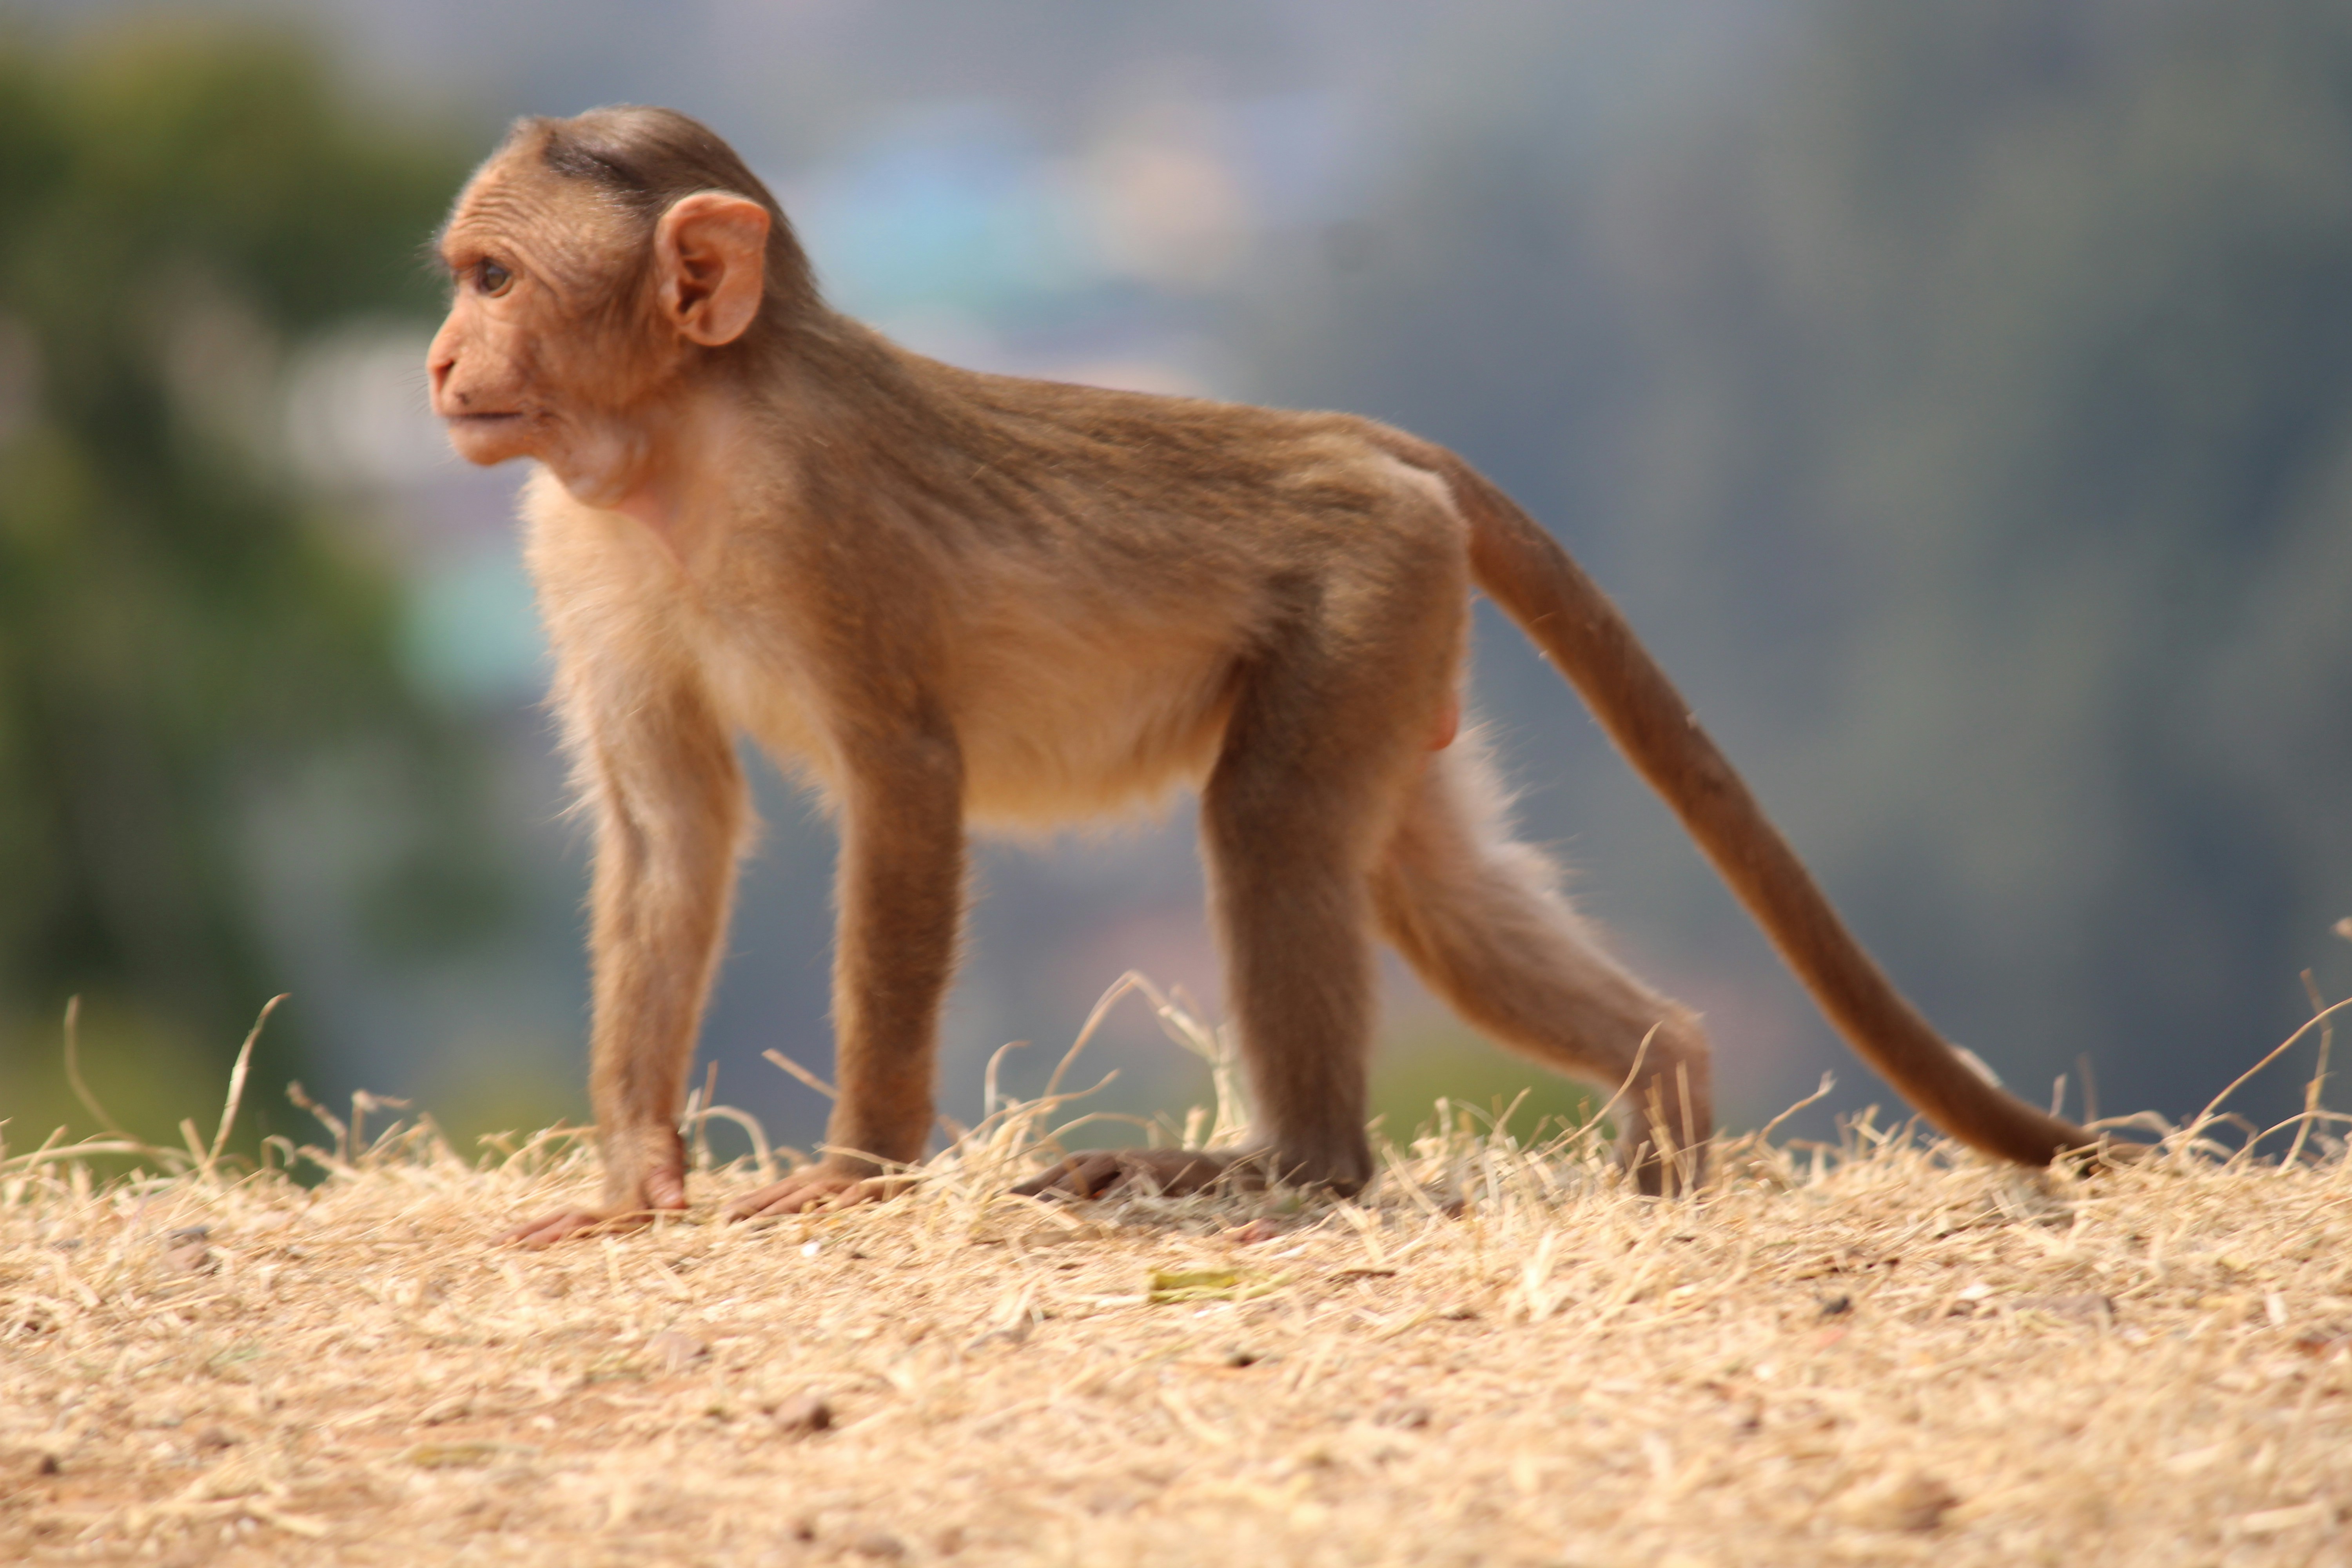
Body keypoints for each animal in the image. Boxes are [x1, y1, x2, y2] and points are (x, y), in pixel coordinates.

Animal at [423, 106, 2099, 1246]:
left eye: (495, 277)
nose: (440, 363)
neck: (685, 434)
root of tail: (1352, 441)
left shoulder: (812, 513)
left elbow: (903, 780)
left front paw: (858, 1171)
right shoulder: (569, 546)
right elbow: (668, 828)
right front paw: (633, 1174)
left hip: (1360, 596)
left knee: (1274, 823)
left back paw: (1293, 1168)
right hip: (1405, 630)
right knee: (1427, 881)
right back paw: (1666, 1083)